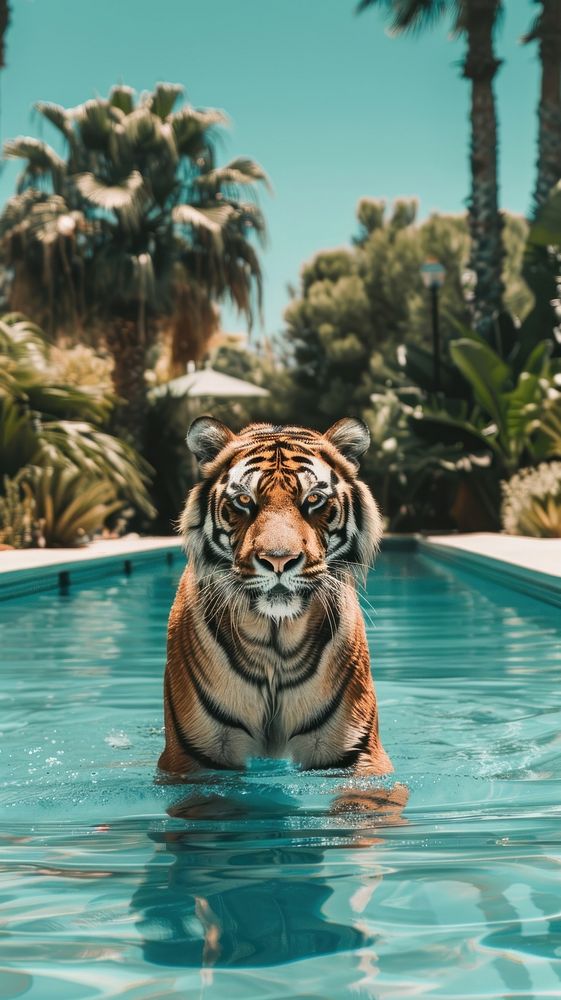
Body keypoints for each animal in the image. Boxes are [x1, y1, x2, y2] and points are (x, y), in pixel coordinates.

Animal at [158, 415, 393, 777]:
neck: (276, 639)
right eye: (244, 500)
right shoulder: (193, 758)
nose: (278, 560)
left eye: (314, 499)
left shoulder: (358, 752)